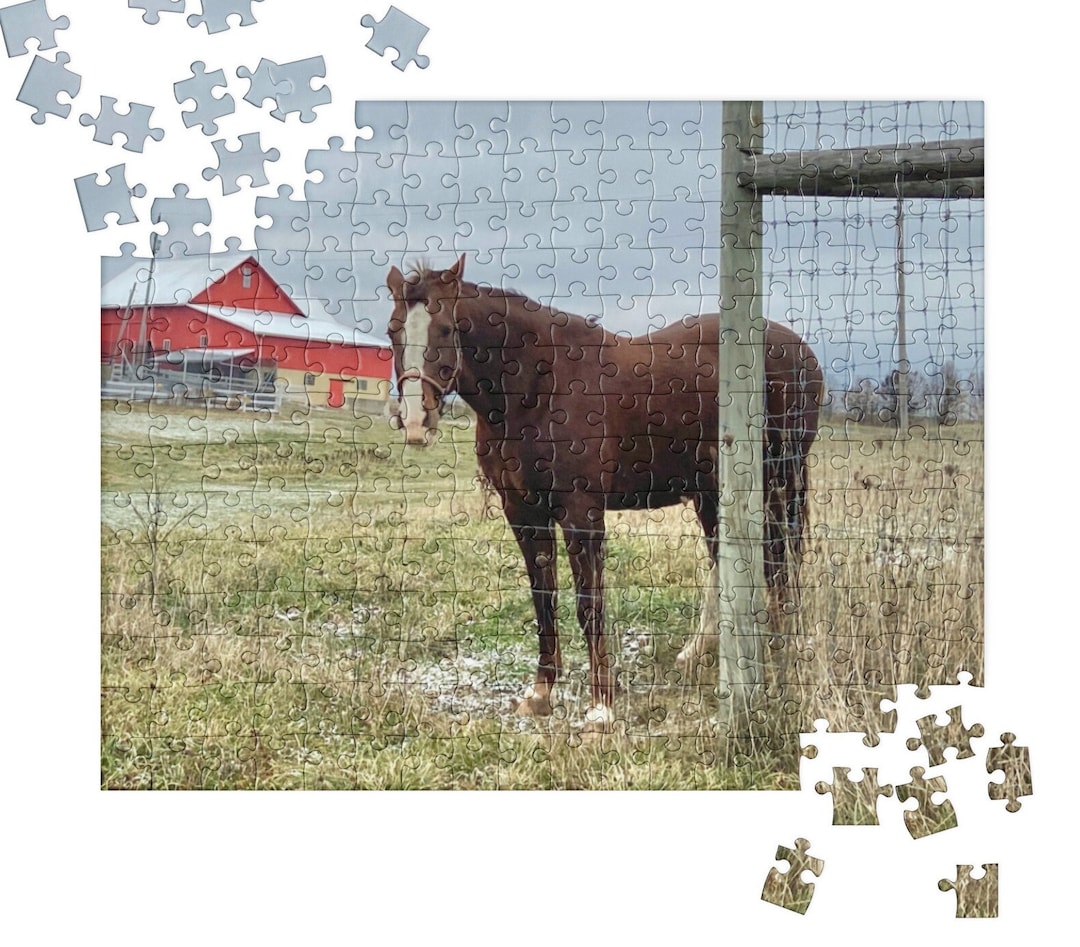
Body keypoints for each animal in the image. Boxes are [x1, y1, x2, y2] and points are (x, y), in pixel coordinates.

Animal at [385, 255, 824, 728]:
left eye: (446, 329)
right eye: (393, 330)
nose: (415, 421)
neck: (538, 387)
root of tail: (802, 351)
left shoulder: (582, 514)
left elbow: (588, 604)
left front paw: (601, 705)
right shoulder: (524, 513)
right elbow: (543, 600)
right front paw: (541, 693)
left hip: (780, 483)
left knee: (782, 559)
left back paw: (786, 645)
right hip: (712, 494)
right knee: (730, 560)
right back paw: (700, 651)